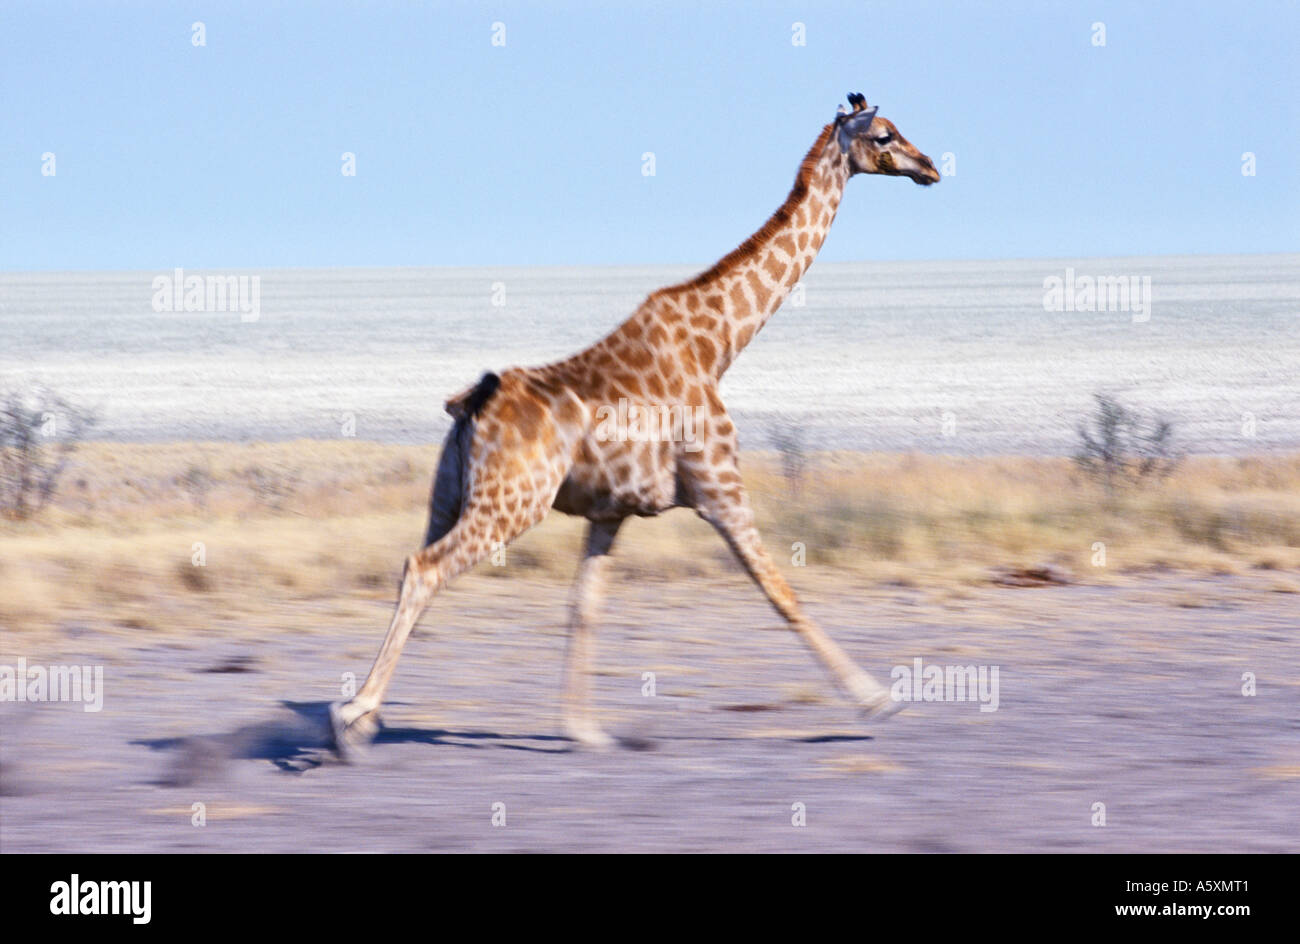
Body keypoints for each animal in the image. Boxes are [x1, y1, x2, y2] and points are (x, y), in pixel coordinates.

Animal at [330, 92, 940, 754]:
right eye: (884, 135)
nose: (931, 167)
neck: (718, 345)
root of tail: (472, 404)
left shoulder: (610, 511)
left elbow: (584, 606)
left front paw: (583, 730)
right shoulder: (720, 489)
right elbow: (781, 592)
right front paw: (877, 700)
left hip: (447, 496)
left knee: (413, 566)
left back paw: (366, 715)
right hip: (511, 504)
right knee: (426, 570)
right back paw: (350, 717)